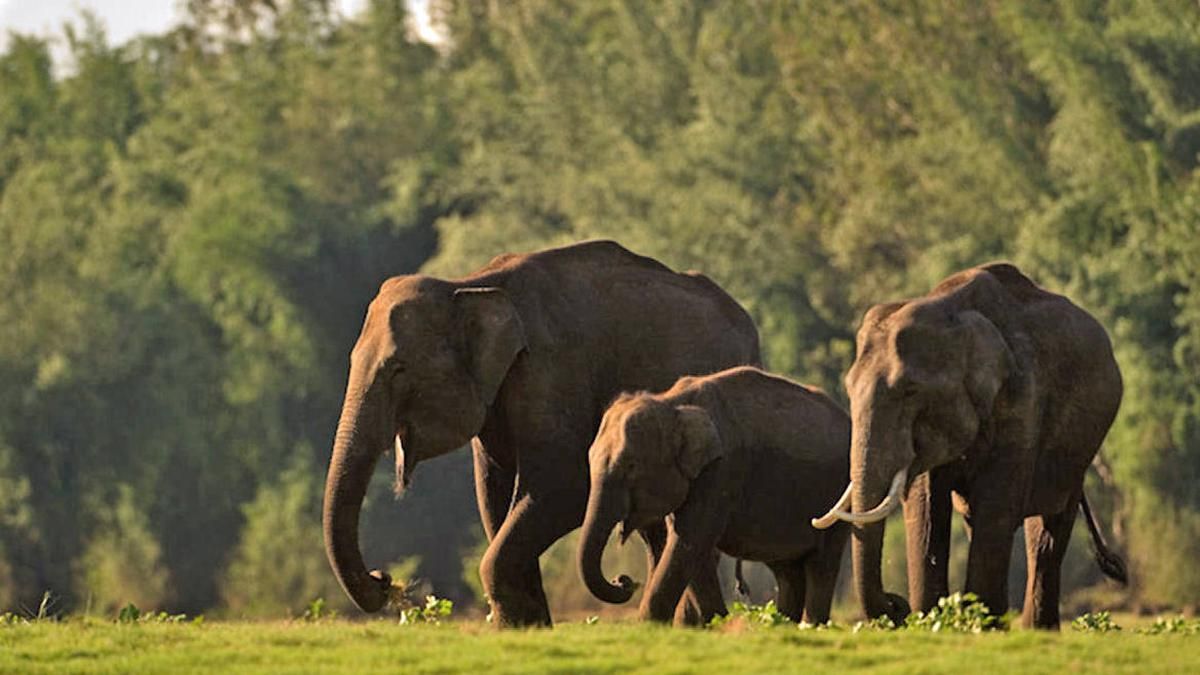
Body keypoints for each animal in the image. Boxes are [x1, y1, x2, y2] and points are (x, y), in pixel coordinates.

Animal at [323, 240, 760, 627]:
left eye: (398, 369)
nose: (383, 579)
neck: (469, 285)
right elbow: (493, 496)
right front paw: (524, 626)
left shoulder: (552, 371)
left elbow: (564, 486)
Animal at [578, 366, 852, 625]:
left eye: (631, 466)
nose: (625, 581)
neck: (671, 404)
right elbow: (690, 545)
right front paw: (718, 621)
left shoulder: (720, 472)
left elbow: (691, 538)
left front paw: (649, 625)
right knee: (787, 570)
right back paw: (783, 623)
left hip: (836, 493)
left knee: (822, 564)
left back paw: (810, 624)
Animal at [812, 262, 1127, 629]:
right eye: (848, 389)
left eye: (910, 391)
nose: (896, 603)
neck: (951, 309)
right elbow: (927, 508)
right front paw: (932, 620)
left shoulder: (1022, 401)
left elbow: (996, 505)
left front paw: (981, 625)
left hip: (1084, 446)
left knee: (1048, 532)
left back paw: (1033, 629)